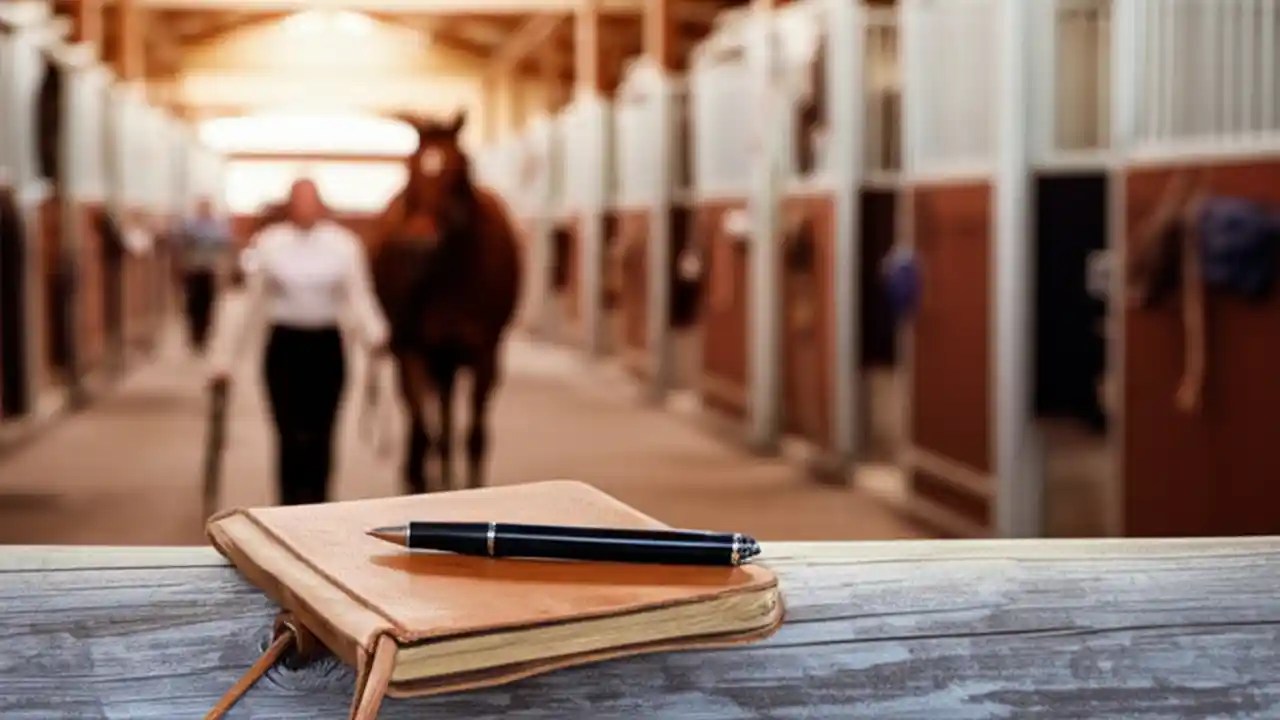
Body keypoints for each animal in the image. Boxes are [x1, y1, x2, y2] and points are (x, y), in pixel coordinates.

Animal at [371, 111, 522, 493]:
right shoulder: (412, 351)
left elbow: (475, 438)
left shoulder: (485, 355)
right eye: (409, 169)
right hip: (435, 359)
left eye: (459, 171)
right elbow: (423, 433)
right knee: (431, 426)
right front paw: (418, 483)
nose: (418, 245)